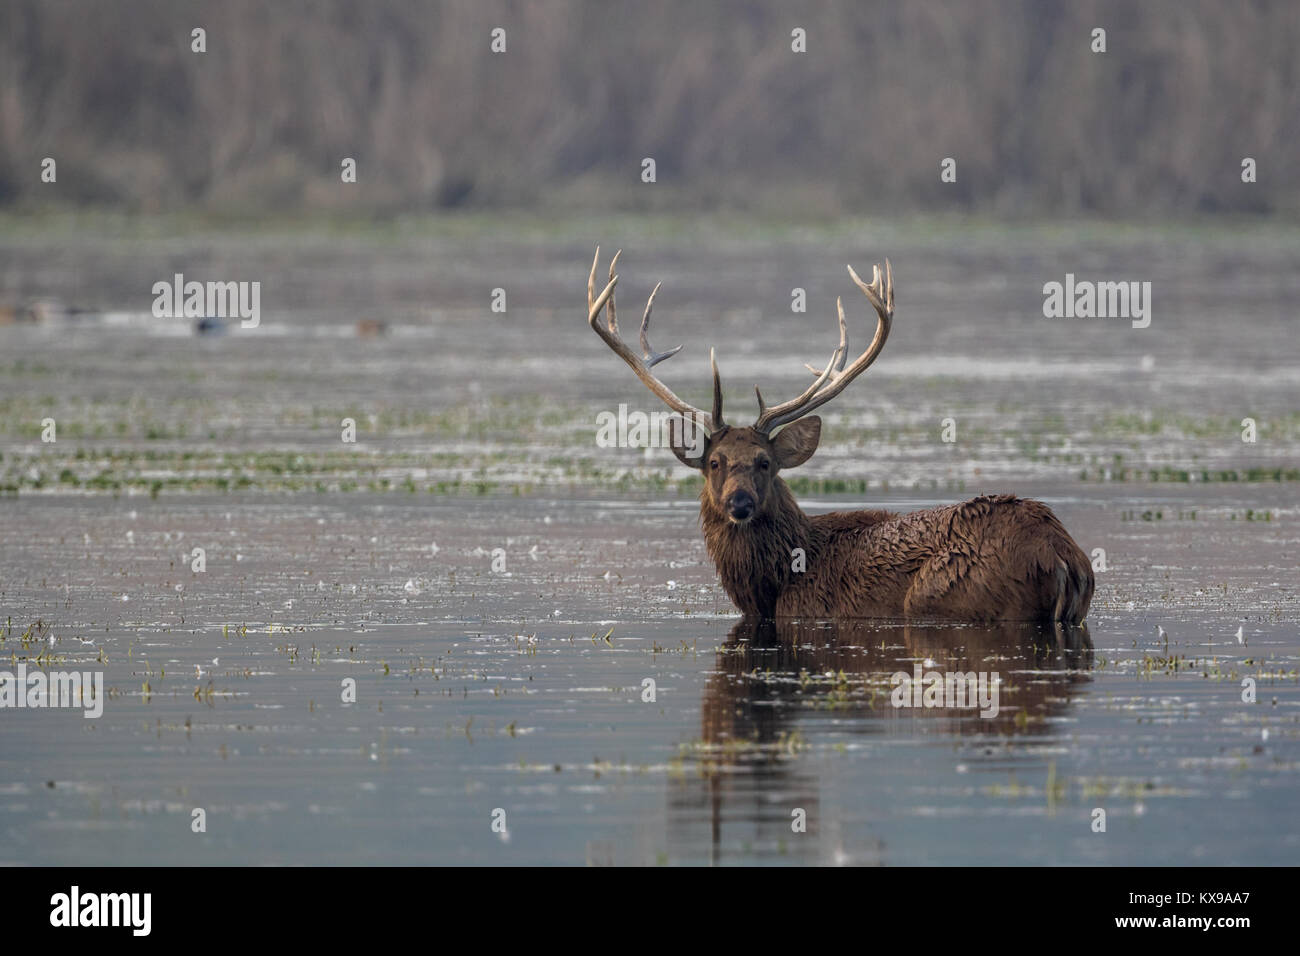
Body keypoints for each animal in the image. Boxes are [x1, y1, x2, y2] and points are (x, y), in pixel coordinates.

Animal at [585, 248, 1094, 626]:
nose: (739, 503)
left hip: (954, 595)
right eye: (714, 462)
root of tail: (1062, 555)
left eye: (765, 462)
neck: (781, 583)